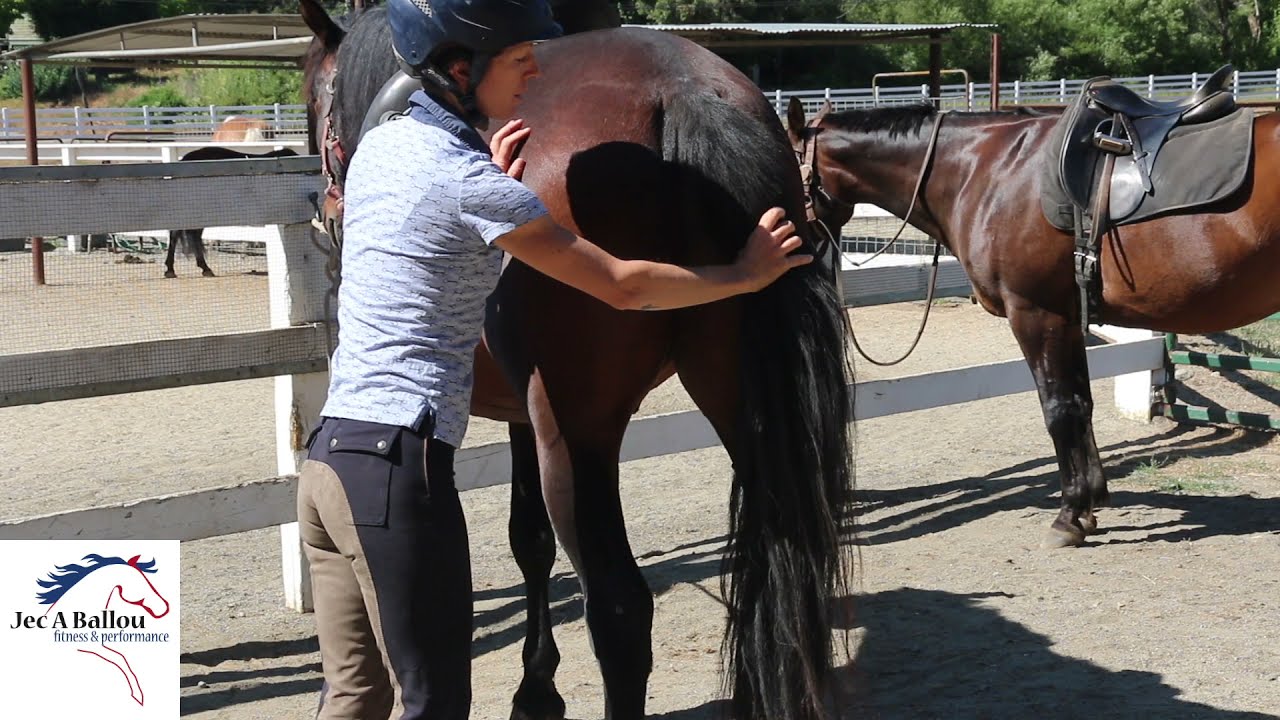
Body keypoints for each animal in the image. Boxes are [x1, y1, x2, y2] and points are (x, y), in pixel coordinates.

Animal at [786, 96, 1280, 549]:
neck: (986, 171)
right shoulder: (1068, 316)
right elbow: (1080, 402)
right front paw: (1091, 503)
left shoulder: (1035, 314)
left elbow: (1060, 408)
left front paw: (1070, 515)